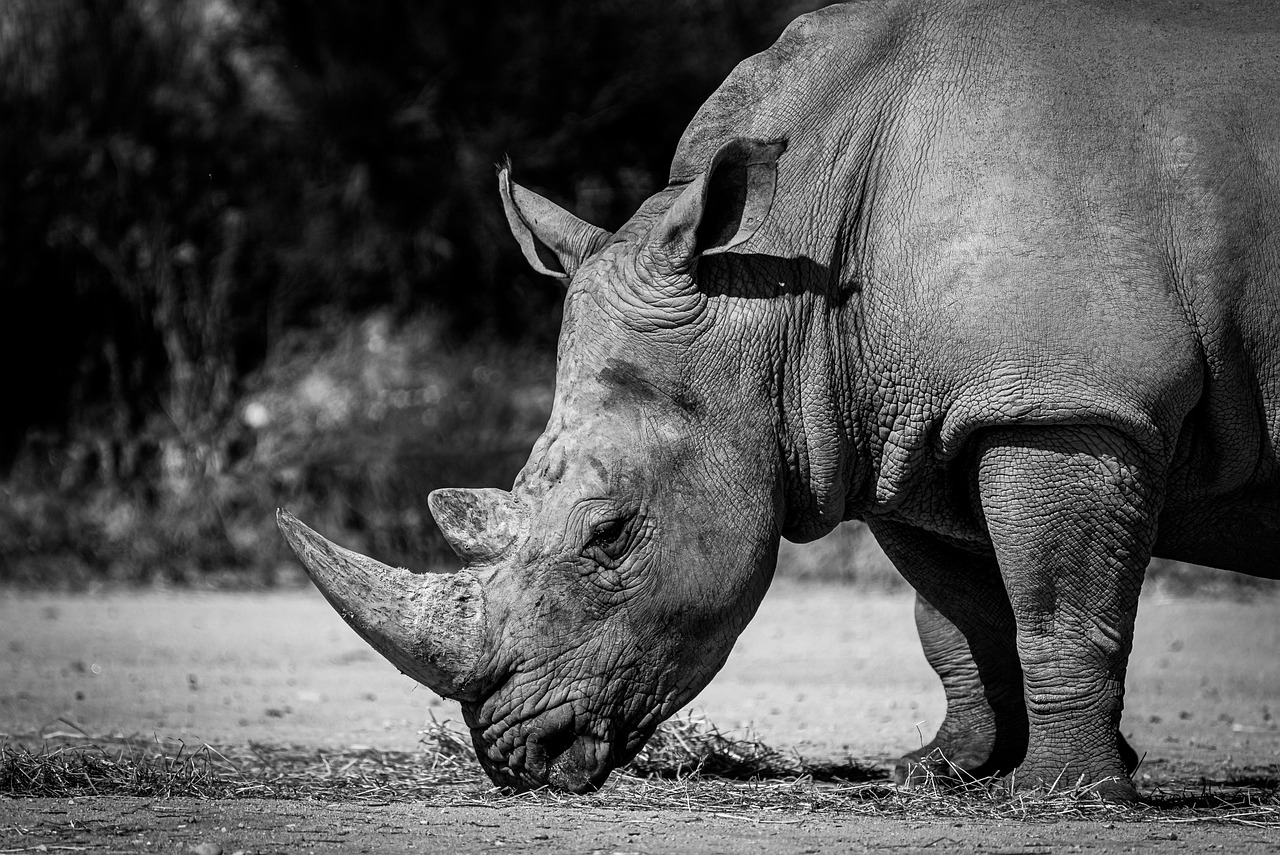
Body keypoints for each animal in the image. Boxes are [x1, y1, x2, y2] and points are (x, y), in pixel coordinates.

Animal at [277, 0, 1280, 799]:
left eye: (611, 534)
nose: (514, 757)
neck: (777, 285)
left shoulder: (1067, 404)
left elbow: (1056, 608)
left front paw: (1065, 793)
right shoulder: (912, 418)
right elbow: (958, 612)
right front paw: (942, 769)